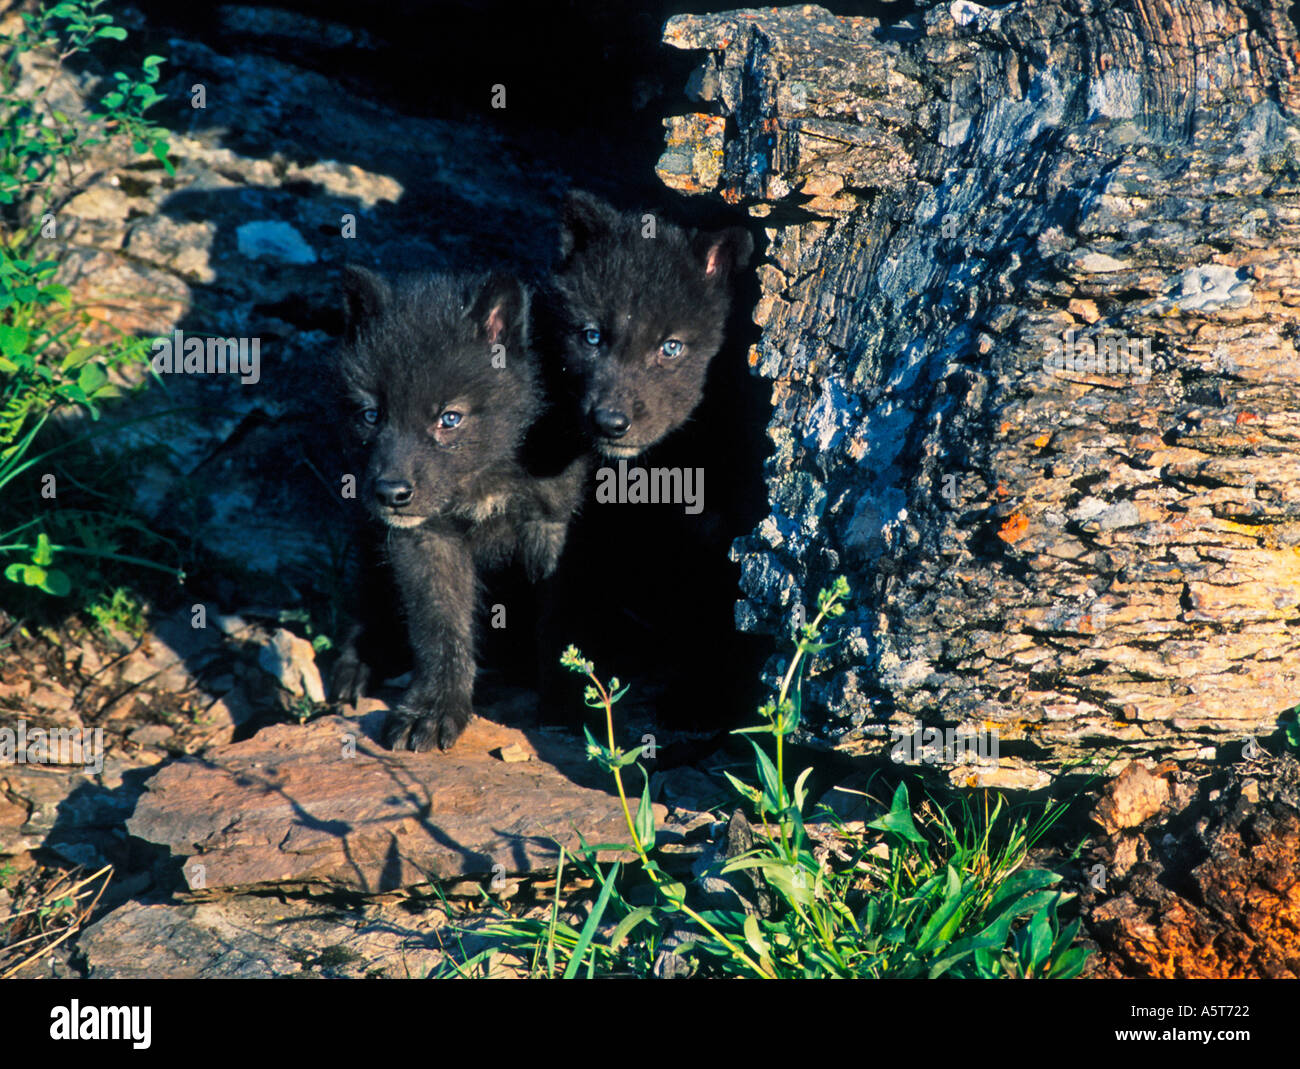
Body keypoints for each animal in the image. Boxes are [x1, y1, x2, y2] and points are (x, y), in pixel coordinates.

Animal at [330, 266, 583, 752]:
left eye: (449, 418)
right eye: (371, 415)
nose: (391, 492)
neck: (484, 481)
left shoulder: (555, 525)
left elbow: (559, 624)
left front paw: (573, 703)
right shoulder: (424, 537)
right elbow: (439, 626)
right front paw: (430, 711)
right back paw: (355, 668)